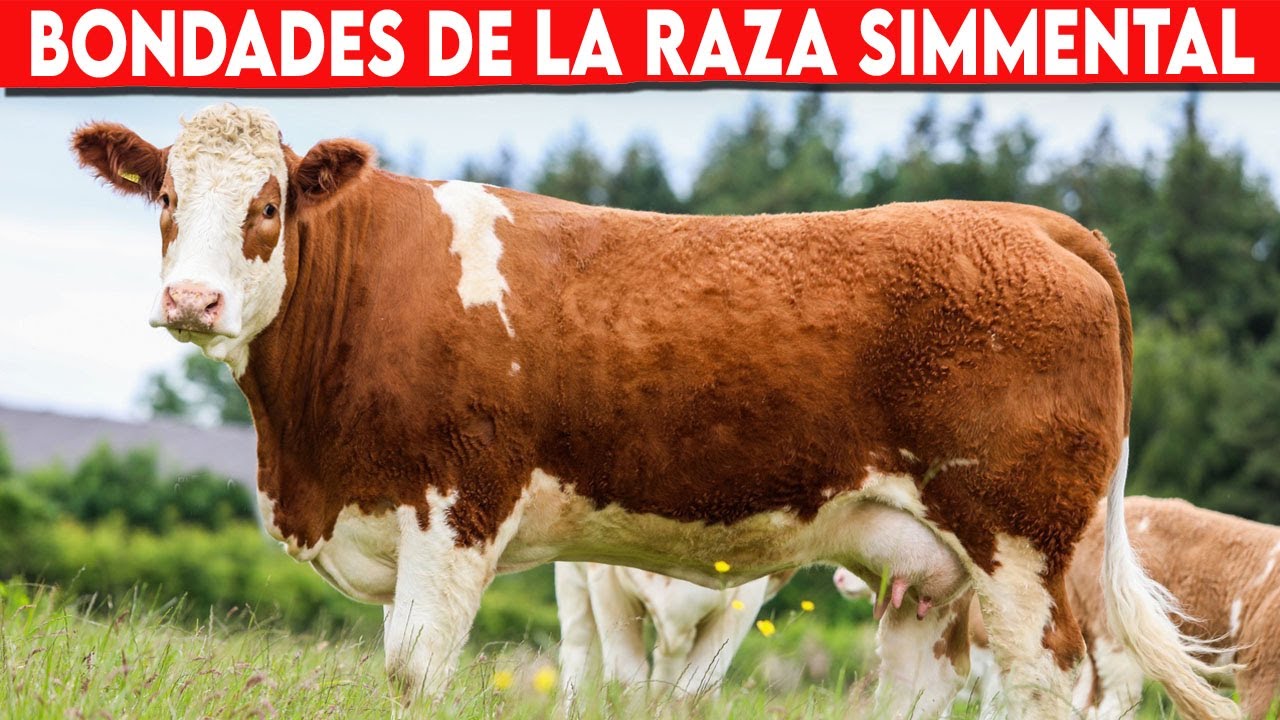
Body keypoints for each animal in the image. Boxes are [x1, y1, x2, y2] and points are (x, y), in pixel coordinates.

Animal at [554, 563, 787, 699]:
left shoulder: (746, 594)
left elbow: (698, 688)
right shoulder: (606, 579)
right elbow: (625, 680)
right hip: (572, 583)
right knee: (579, 663)